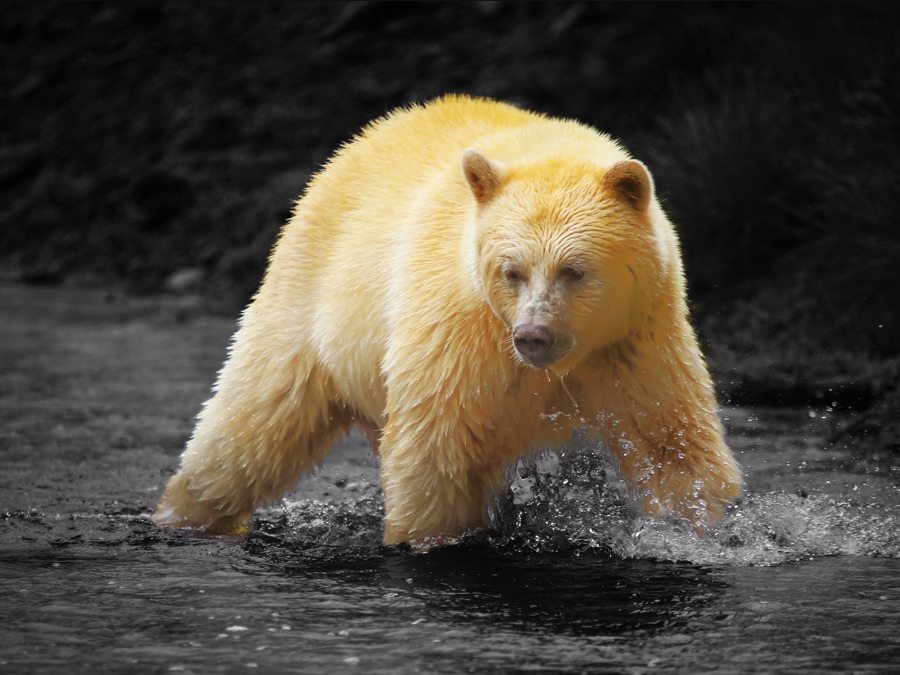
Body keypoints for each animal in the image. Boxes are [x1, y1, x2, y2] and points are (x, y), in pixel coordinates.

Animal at [152, 94, 742, 546]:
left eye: (574, 270)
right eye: (511, 271)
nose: (532, 336)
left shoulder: (634, 338)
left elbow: (670, 441)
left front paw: (697, 527)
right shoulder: (459, 326)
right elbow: (438, 446)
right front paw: (428, 539)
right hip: (308, 297)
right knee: (250, 422)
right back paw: (183, 514)